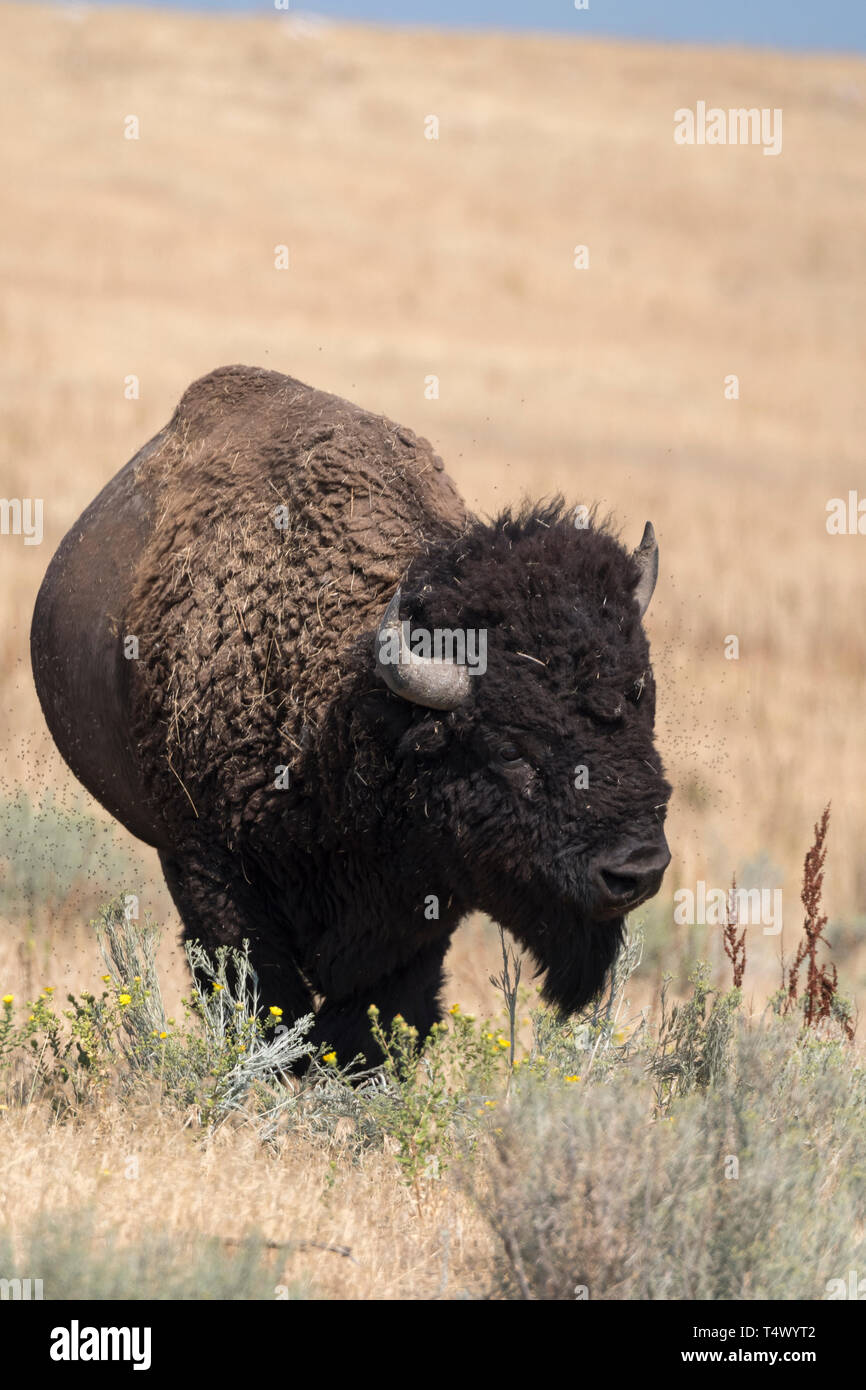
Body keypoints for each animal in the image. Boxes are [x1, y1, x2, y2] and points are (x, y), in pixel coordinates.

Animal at [31, 366, 671, 1063]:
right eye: (510, 751)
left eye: (644, 706)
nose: (638, 870)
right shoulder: (207, 867)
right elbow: (265, 997)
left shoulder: (422, 907)